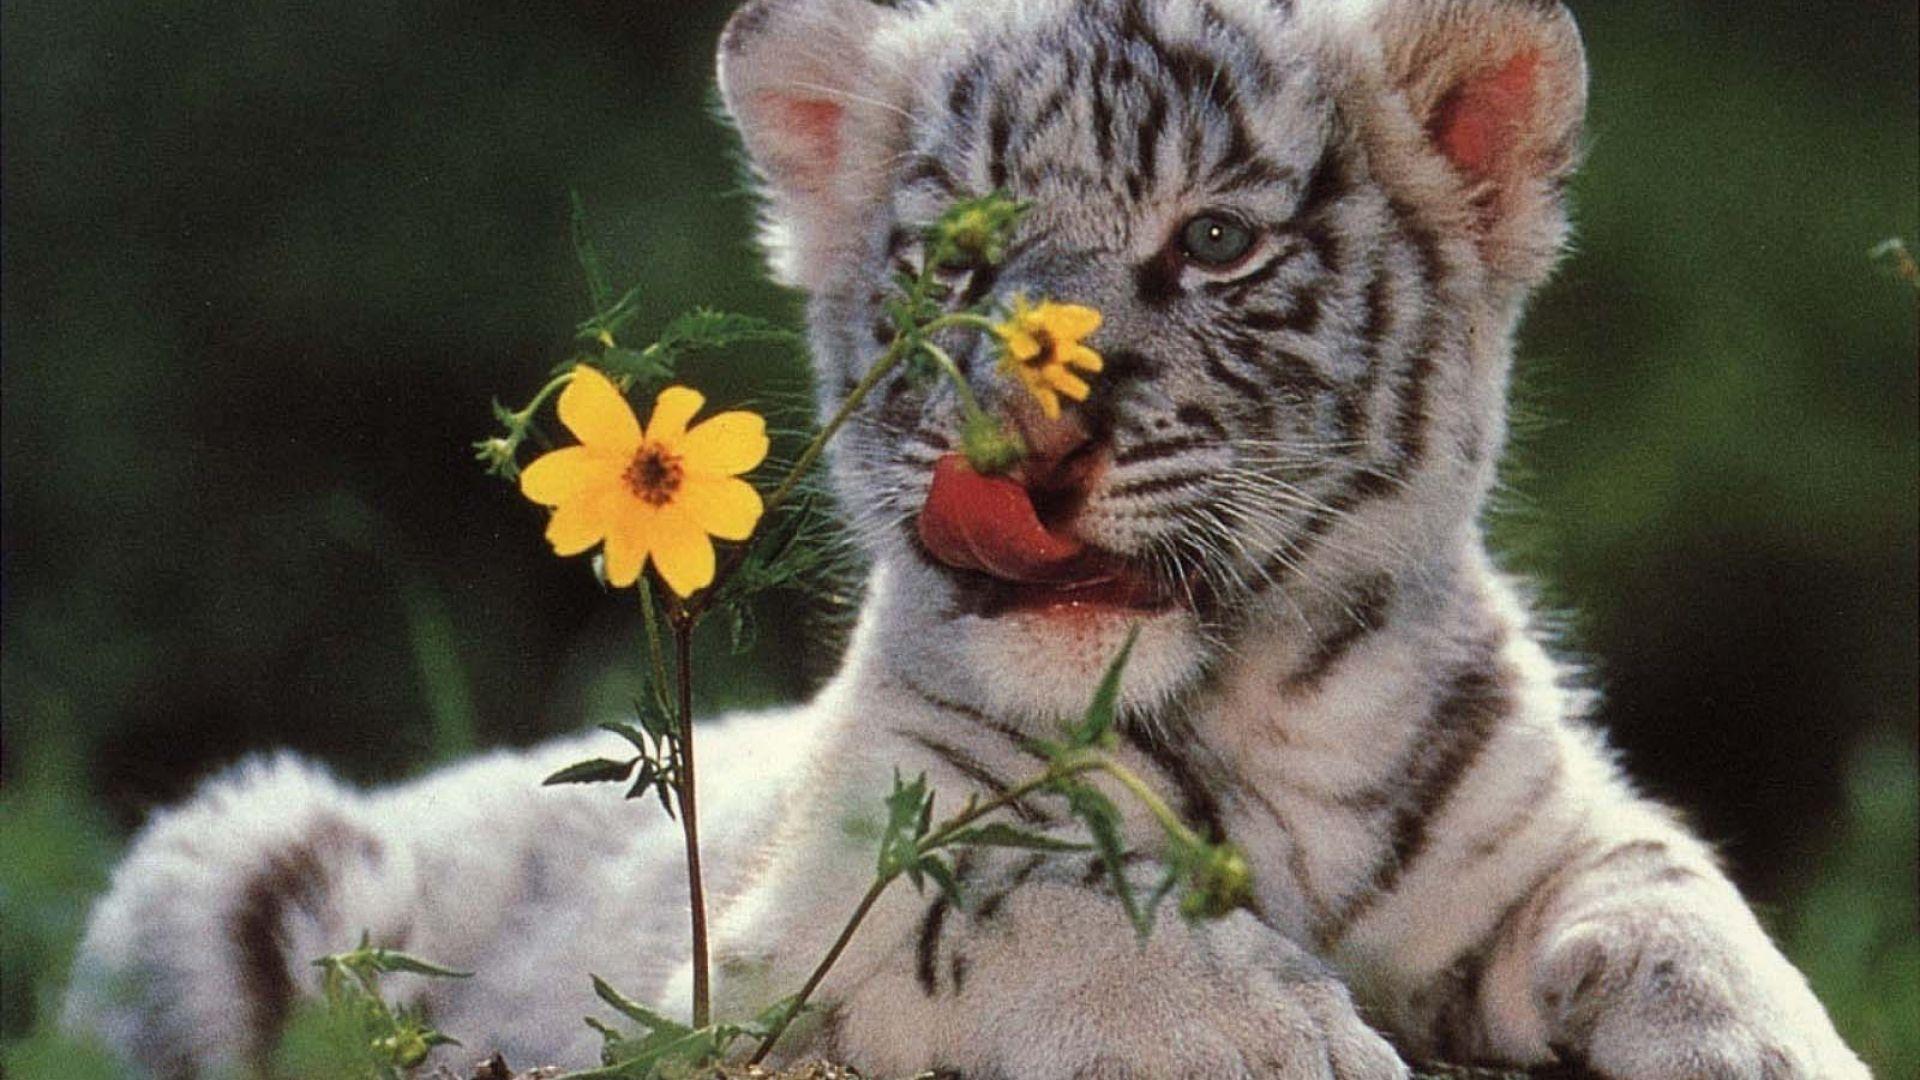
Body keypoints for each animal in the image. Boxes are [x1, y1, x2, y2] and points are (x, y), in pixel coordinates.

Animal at [64, 0, 1870, 1076]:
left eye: (1215, 243)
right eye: (956, 264)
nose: (1021, 452)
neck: (1268, 723)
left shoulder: (1551, 833)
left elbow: (1694, 915)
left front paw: (1773, 1050)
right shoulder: (826, 899)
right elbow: (1059, 913)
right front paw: (1290, 1042)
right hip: (221, 857)